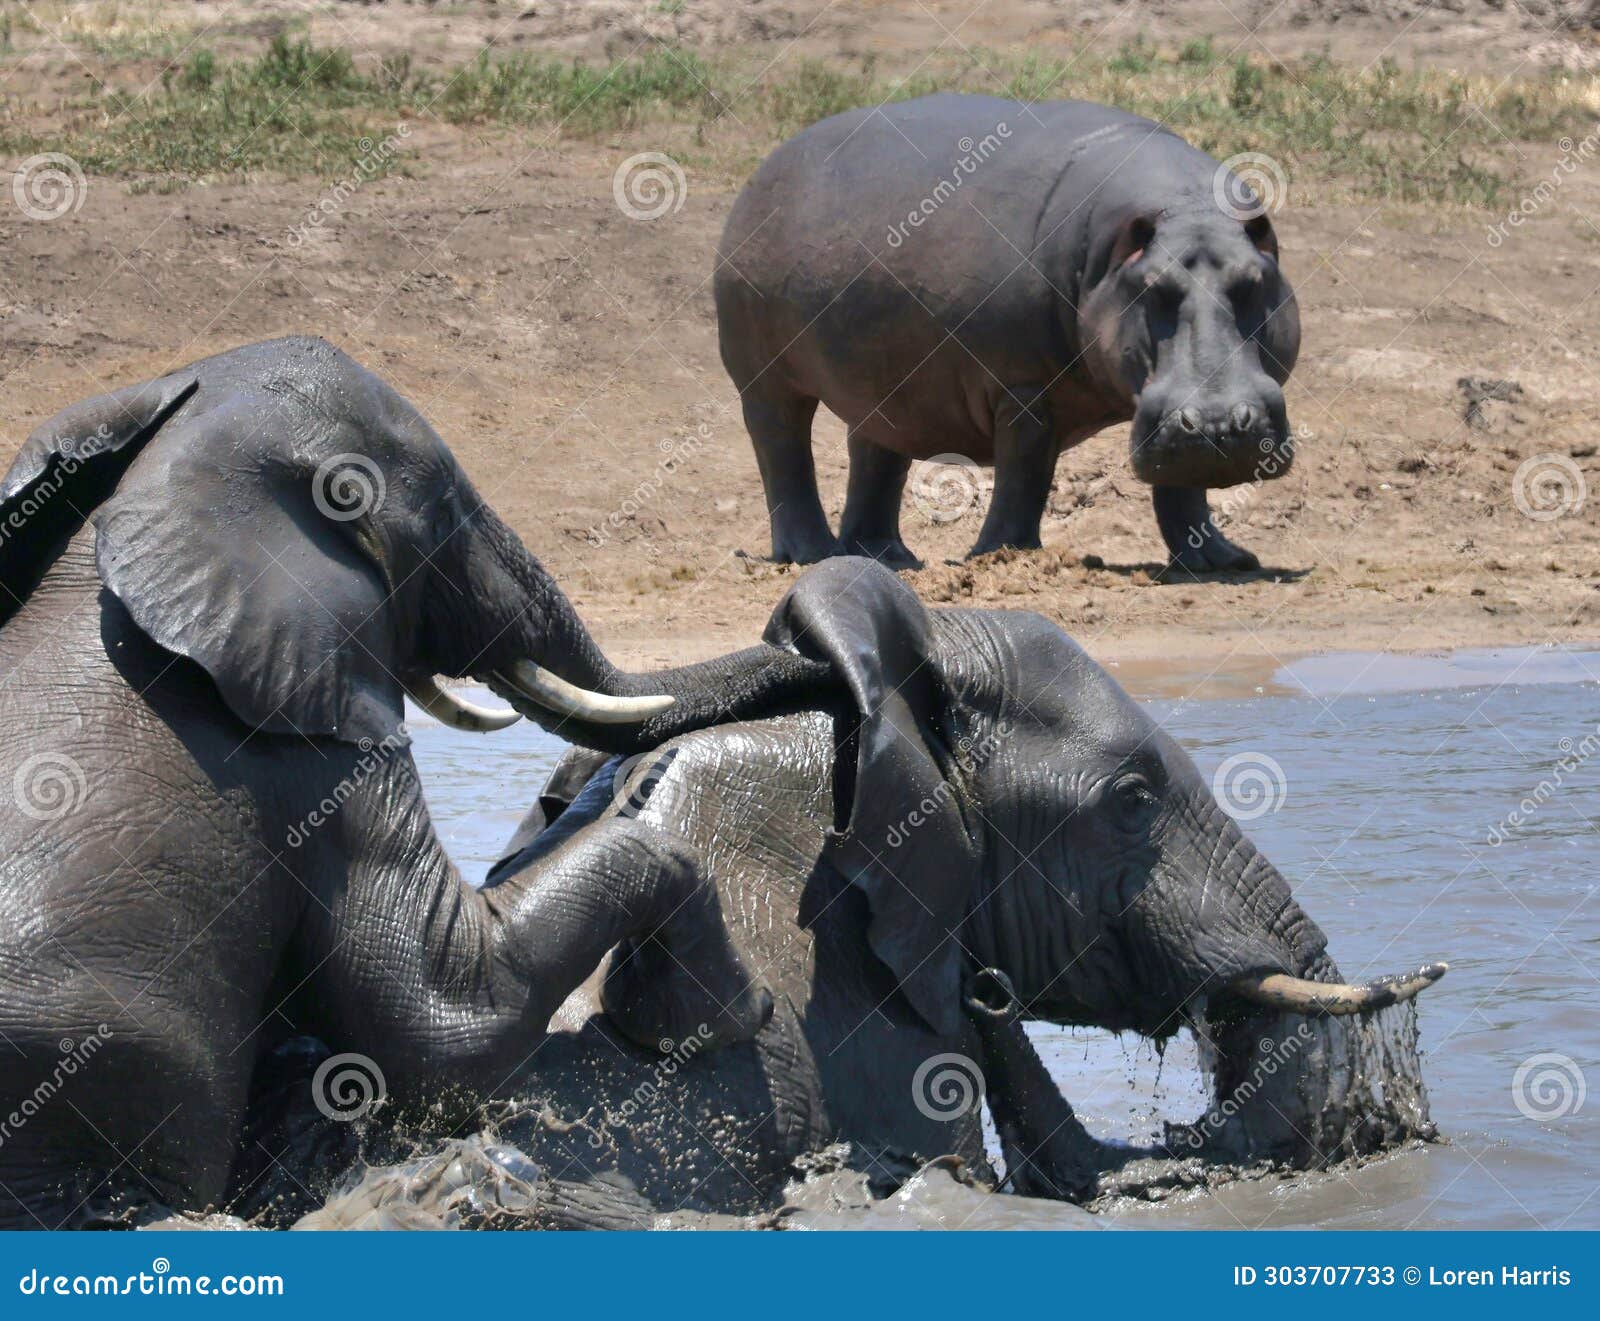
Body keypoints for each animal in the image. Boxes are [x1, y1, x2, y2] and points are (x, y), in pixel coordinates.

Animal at [714, 93, 1301, 571]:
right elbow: (1024, 474)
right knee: (783, 455)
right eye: (1153, 288)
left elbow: (1183, 490)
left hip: (883, 385)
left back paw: (886, 558)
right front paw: (1003, 556)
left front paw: (1225, 561)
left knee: (875, 457)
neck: (1184, 210)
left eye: (1254, 282)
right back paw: (810, 555)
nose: (1219, 422)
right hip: (764, 381)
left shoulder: (1162, 413)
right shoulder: (1024, 387)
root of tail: (765, 168)